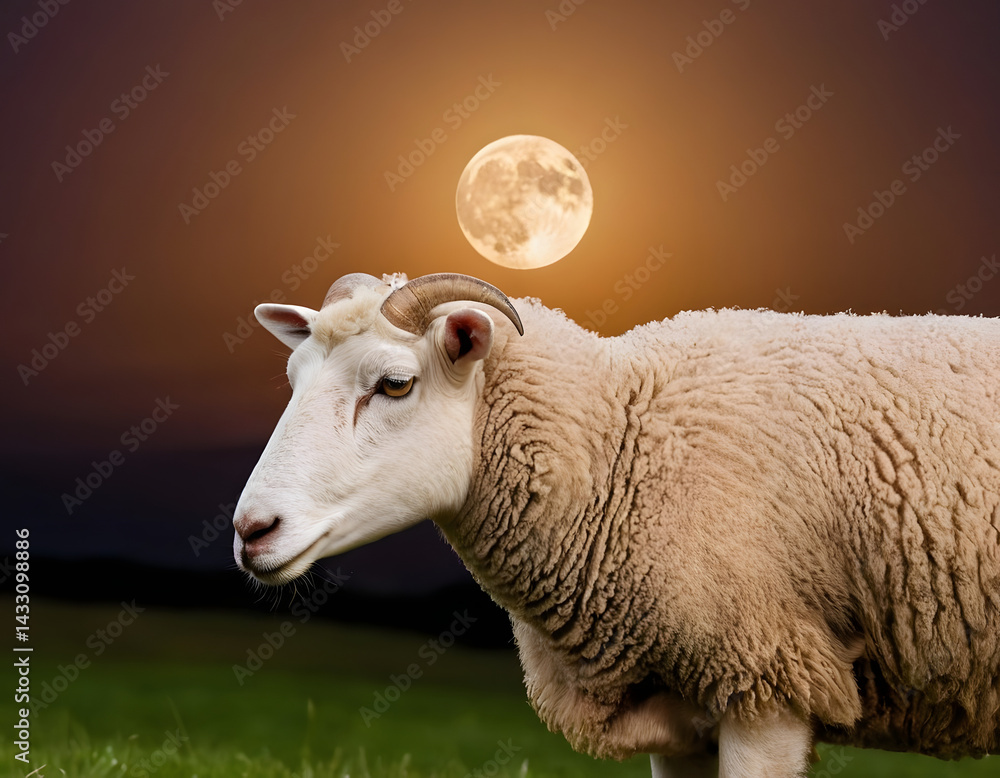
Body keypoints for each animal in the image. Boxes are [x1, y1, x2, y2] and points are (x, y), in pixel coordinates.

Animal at [233, 271, 1000, 778]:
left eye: (394, 384)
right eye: (294, 378)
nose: (249, 530)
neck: (622, 442)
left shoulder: (769, 680)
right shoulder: (679, 714)